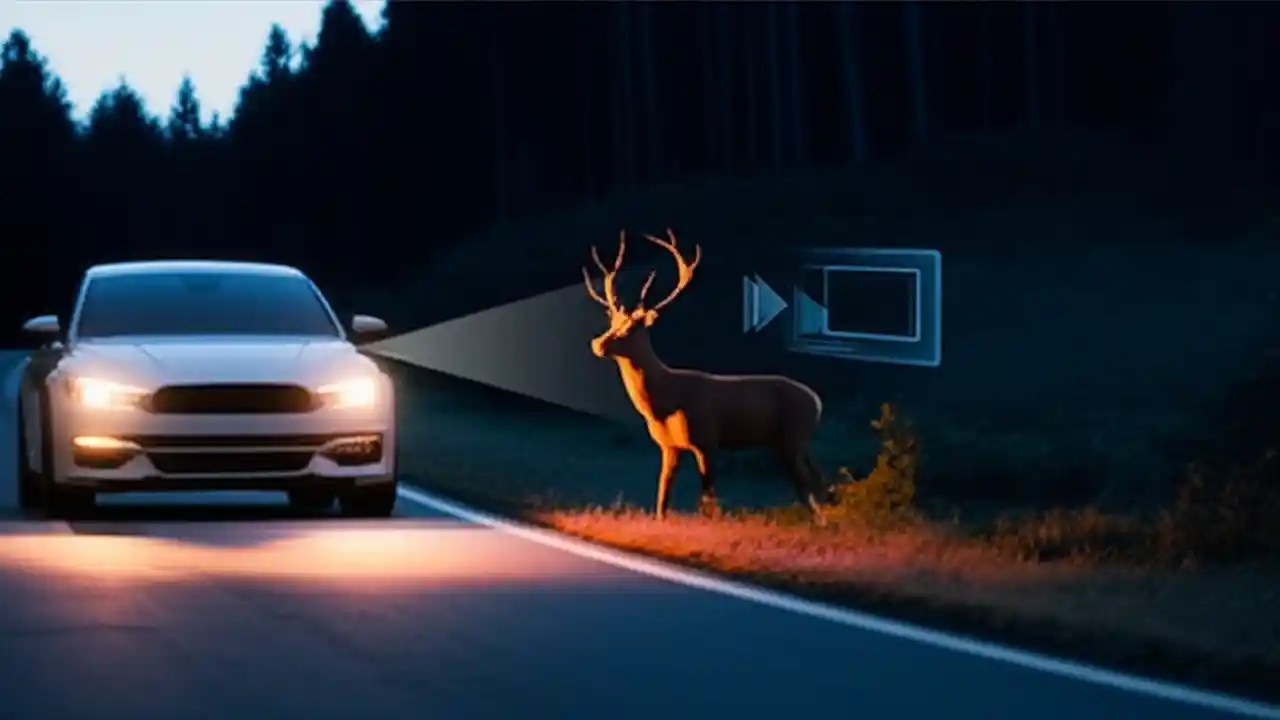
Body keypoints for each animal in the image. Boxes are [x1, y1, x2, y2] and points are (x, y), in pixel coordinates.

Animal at [582, 229, 837, 521]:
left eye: (629, 329)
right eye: (613, 323)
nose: (598, 343)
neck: (665, 399)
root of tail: (817, 402)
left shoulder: (706, 440)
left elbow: (707, 496)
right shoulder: (668, 446)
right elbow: (662, 497)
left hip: (792, 438)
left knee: (808, 486)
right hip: (796, 442)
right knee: (819, 482)